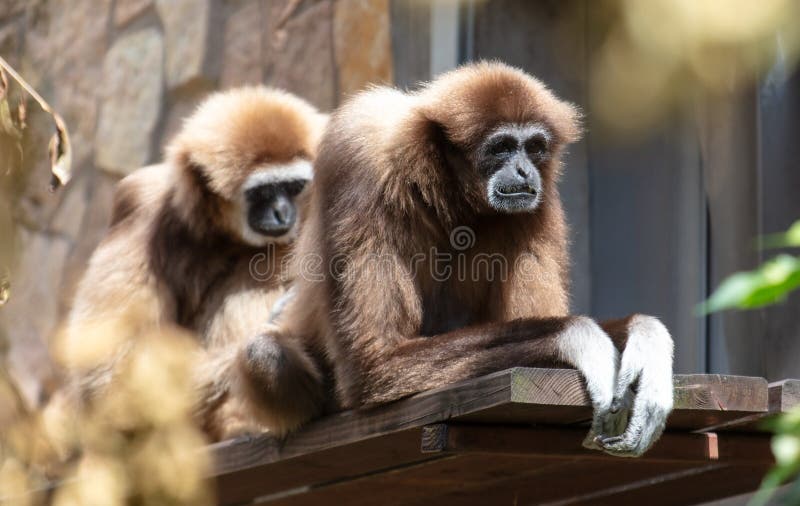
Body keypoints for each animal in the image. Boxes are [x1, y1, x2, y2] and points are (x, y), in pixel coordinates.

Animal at [60, 86, 327, 440]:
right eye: (262, 192)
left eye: (294, 187)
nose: (283, 212)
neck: (224, 234)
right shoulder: (139, 205)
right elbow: (107, 381)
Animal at [237, 62, 674, 457]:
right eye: (501, 147)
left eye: (534, 147)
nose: (524, 170)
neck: (435, 184)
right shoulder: (356, 156)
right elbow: (376, 364)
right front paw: (580, 336)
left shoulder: (541, 197)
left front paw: (645, 338)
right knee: (267, 355)